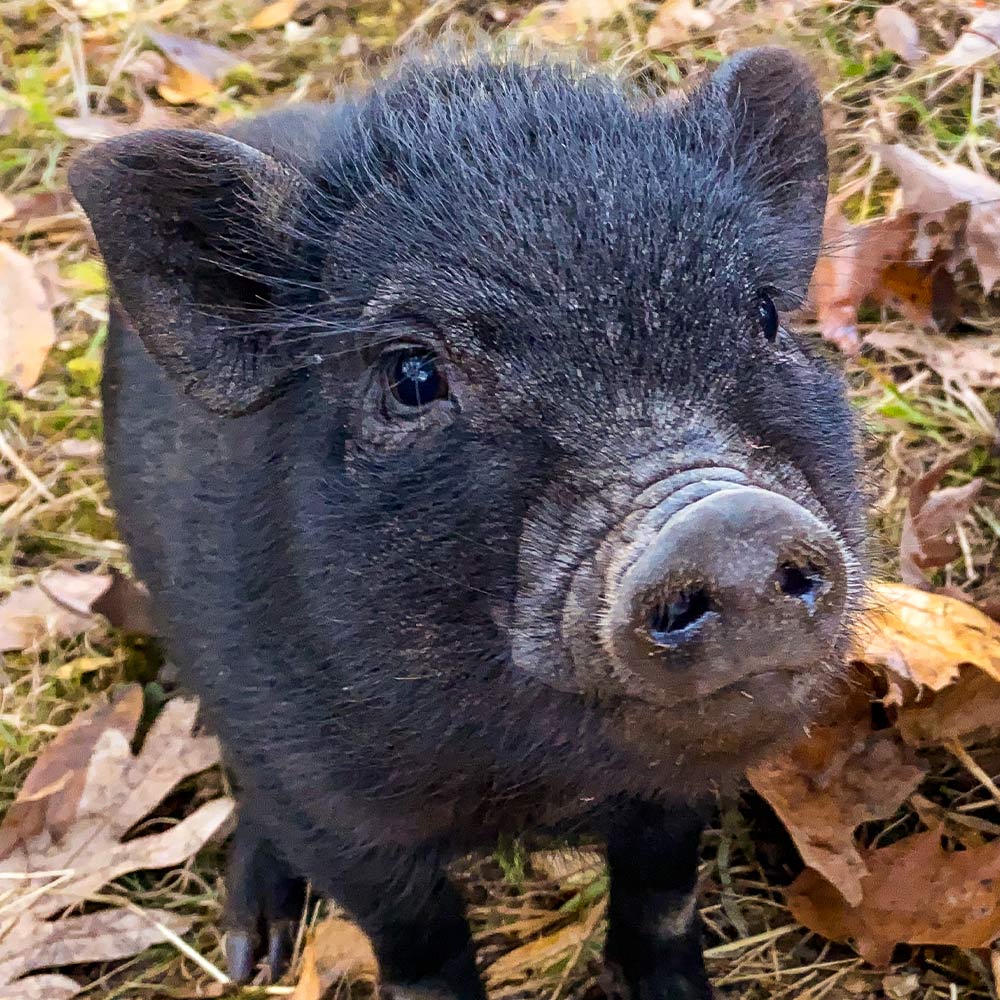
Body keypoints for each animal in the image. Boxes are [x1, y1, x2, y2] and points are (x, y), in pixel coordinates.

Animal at [69, 48, 866, 1000]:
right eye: (412, 375)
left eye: (765, 314)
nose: (730, 524)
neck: (537, 783)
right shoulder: (334, 807)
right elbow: (417, 943)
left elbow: (663, 892)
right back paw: (253, 953)